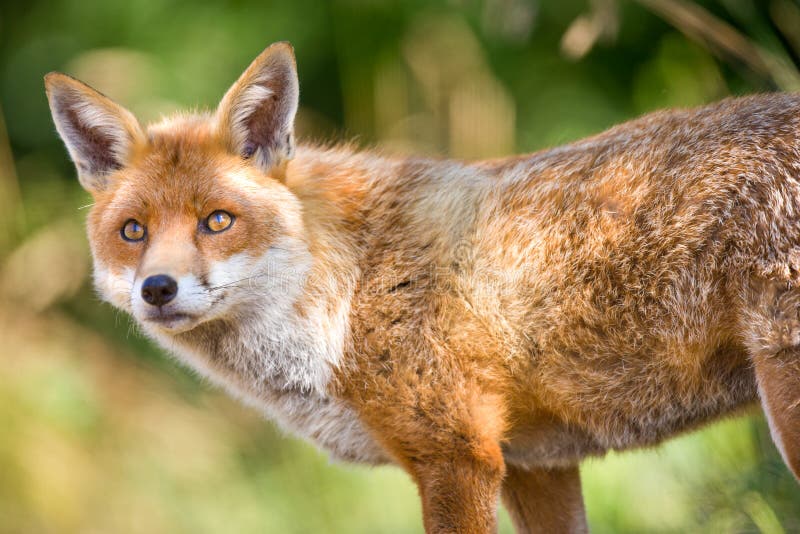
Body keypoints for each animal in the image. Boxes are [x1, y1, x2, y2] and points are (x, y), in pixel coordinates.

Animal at [44, 41, 800, 533]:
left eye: (218, 221)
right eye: (134, 231)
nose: (158, 289)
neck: (345, 294)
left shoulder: (458, 457)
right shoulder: (537, 464)